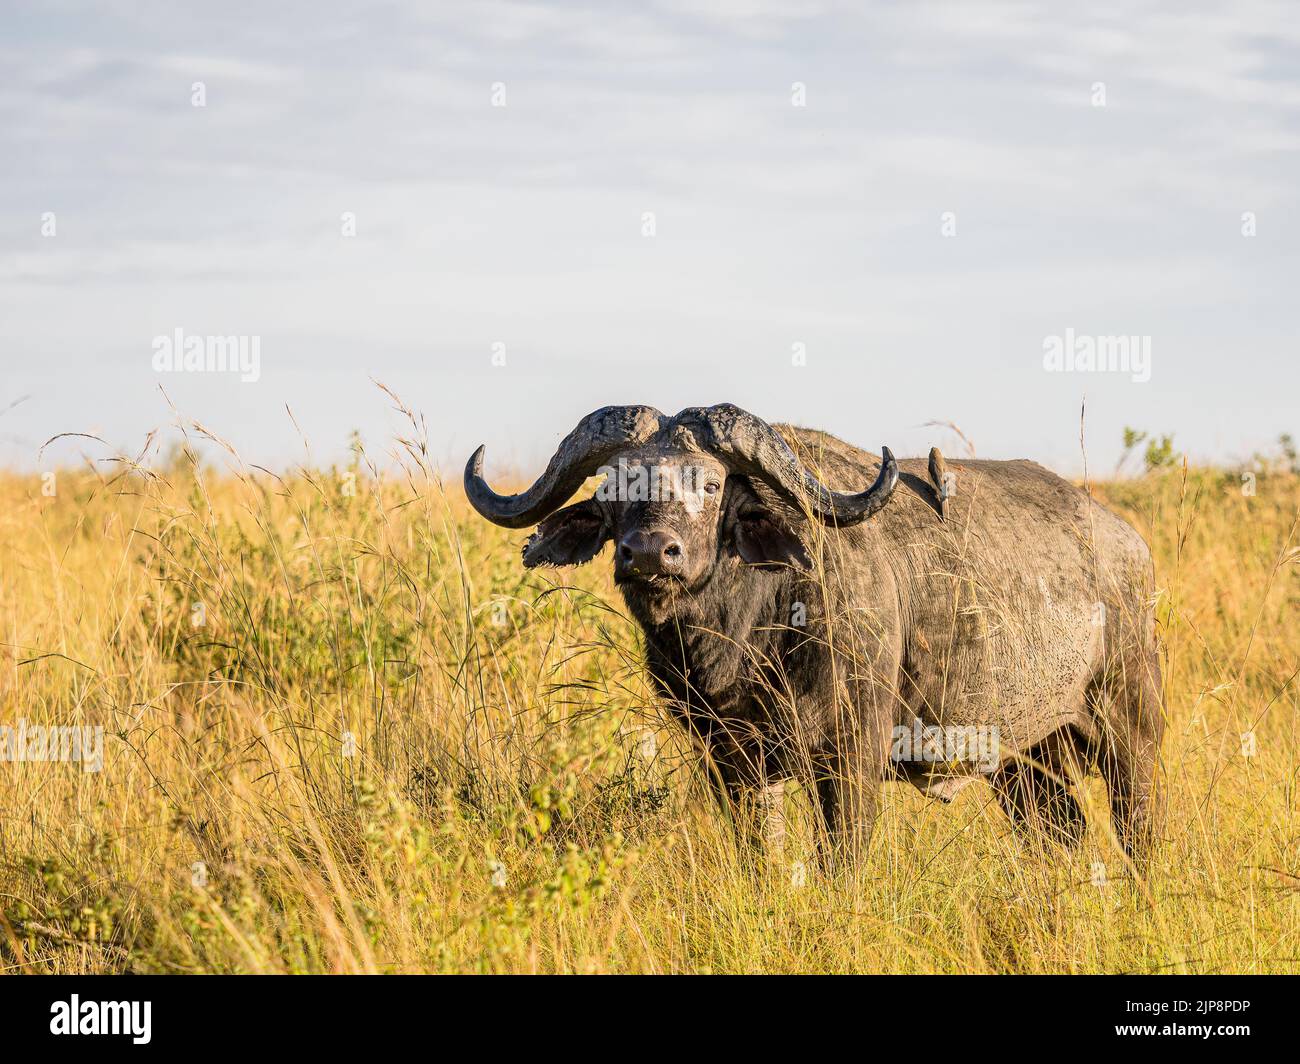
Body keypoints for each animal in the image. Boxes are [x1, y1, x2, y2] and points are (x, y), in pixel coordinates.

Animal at [465, 404, 1163, 866]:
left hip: (1130, 728)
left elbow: (842, 862)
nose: (650, 553)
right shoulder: (733, 763)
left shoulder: (853, 756)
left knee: (1140, 827)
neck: (750, 638)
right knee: (1063, 833)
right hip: (1026, 761)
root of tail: (1126, 543)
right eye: (614, 487)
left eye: (712, 485)